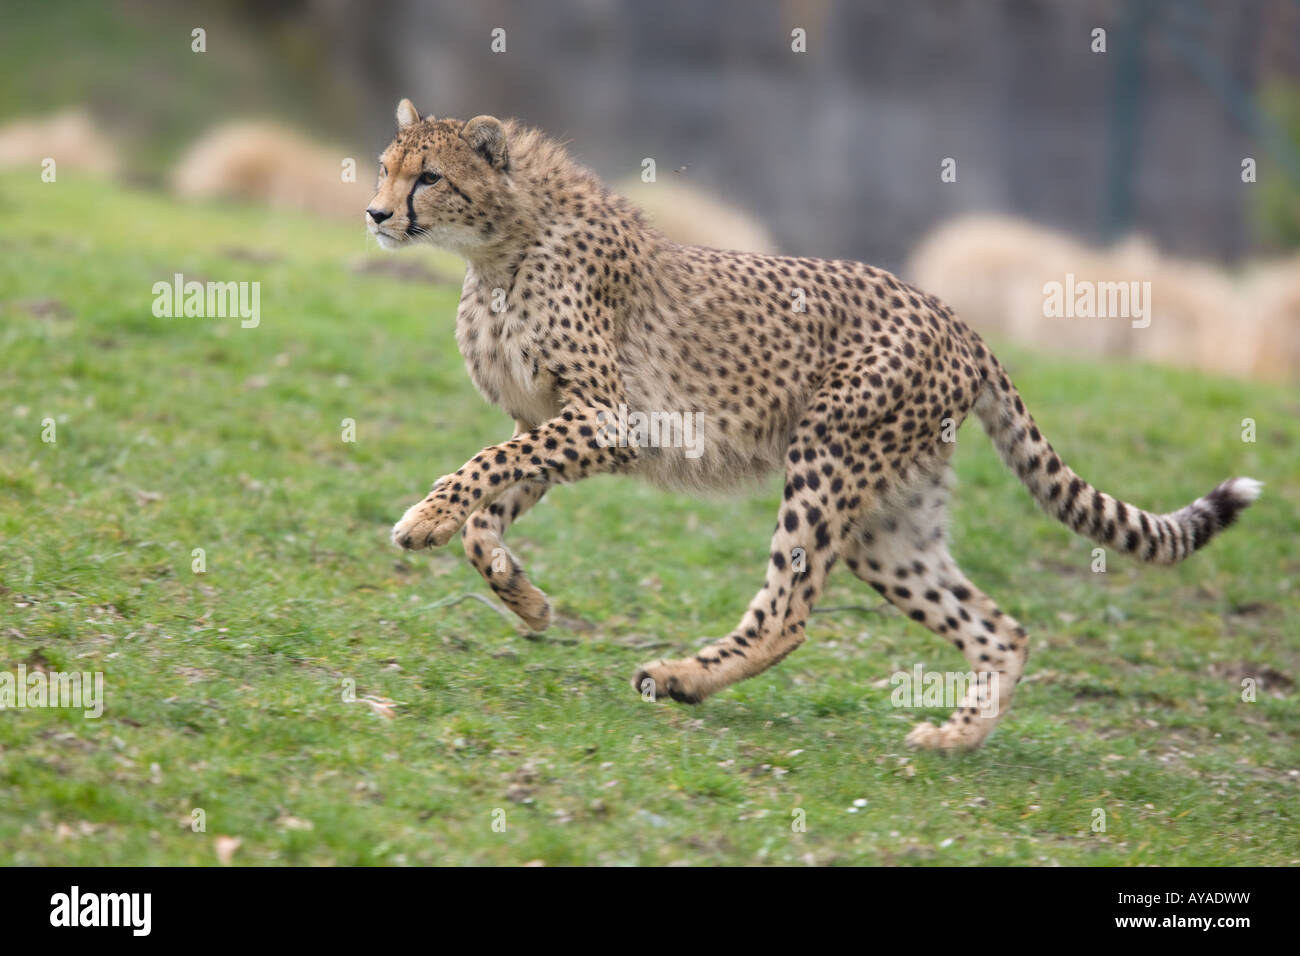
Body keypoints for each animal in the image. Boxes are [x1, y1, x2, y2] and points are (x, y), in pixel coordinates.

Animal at [367, 98, 1261, 750]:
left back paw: (683, 677)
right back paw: (955, 739)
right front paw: (522, 597)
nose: (375, 213)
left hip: (829, 454)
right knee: (1000, 627)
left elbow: (485, 464)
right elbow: (493, 508)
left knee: (789, 613)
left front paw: (425, 519)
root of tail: (958, 320)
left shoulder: (607, 420)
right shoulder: (561, 423)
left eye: (430, 176)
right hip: (890, 522)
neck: (497, 248)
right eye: (385, 167)